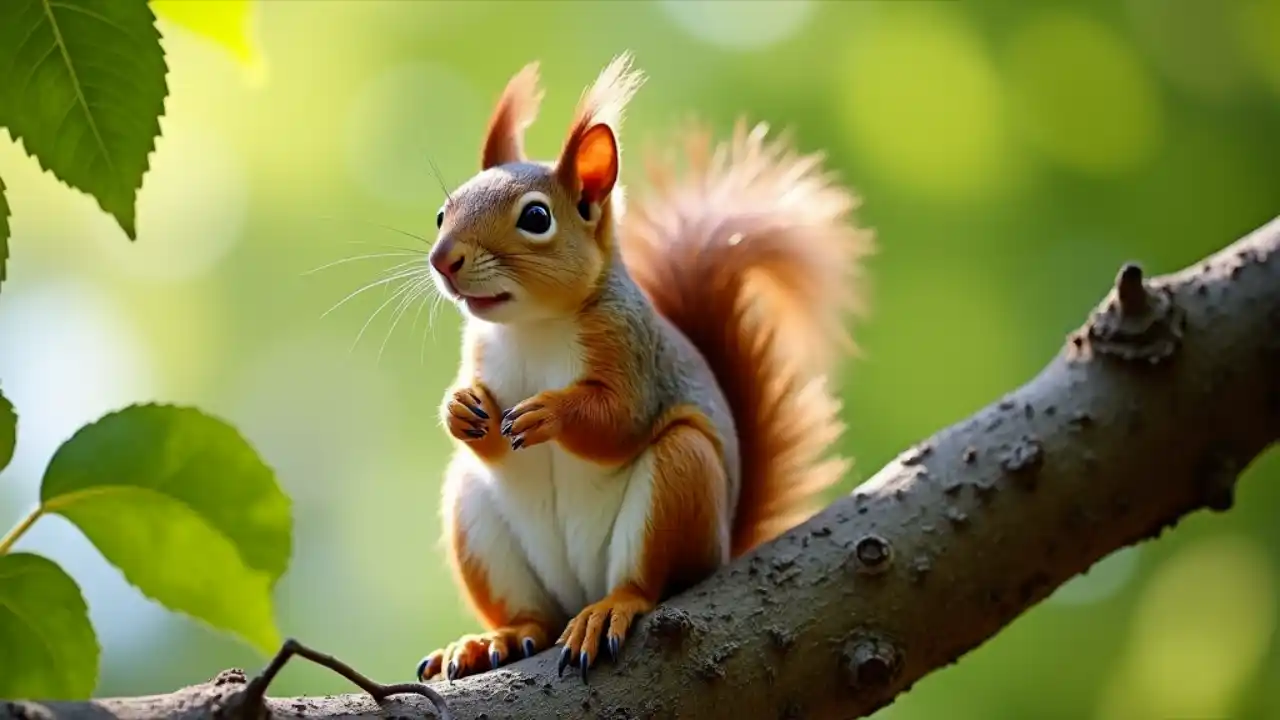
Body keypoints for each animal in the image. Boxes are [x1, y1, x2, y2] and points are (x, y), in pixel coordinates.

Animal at [415, 52, 871, 684]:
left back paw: (608, 610)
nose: (444, 260)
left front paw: (549, 412)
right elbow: (488, 436)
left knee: (645, 584)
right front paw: (460, 408)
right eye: (443, 211)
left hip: (681, 480)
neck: (533, 328)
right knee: (532, 619)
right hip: (477, 519)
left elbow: (619, 421)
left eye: (536, 217)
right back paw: (496, 639)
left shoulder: (632, 351)